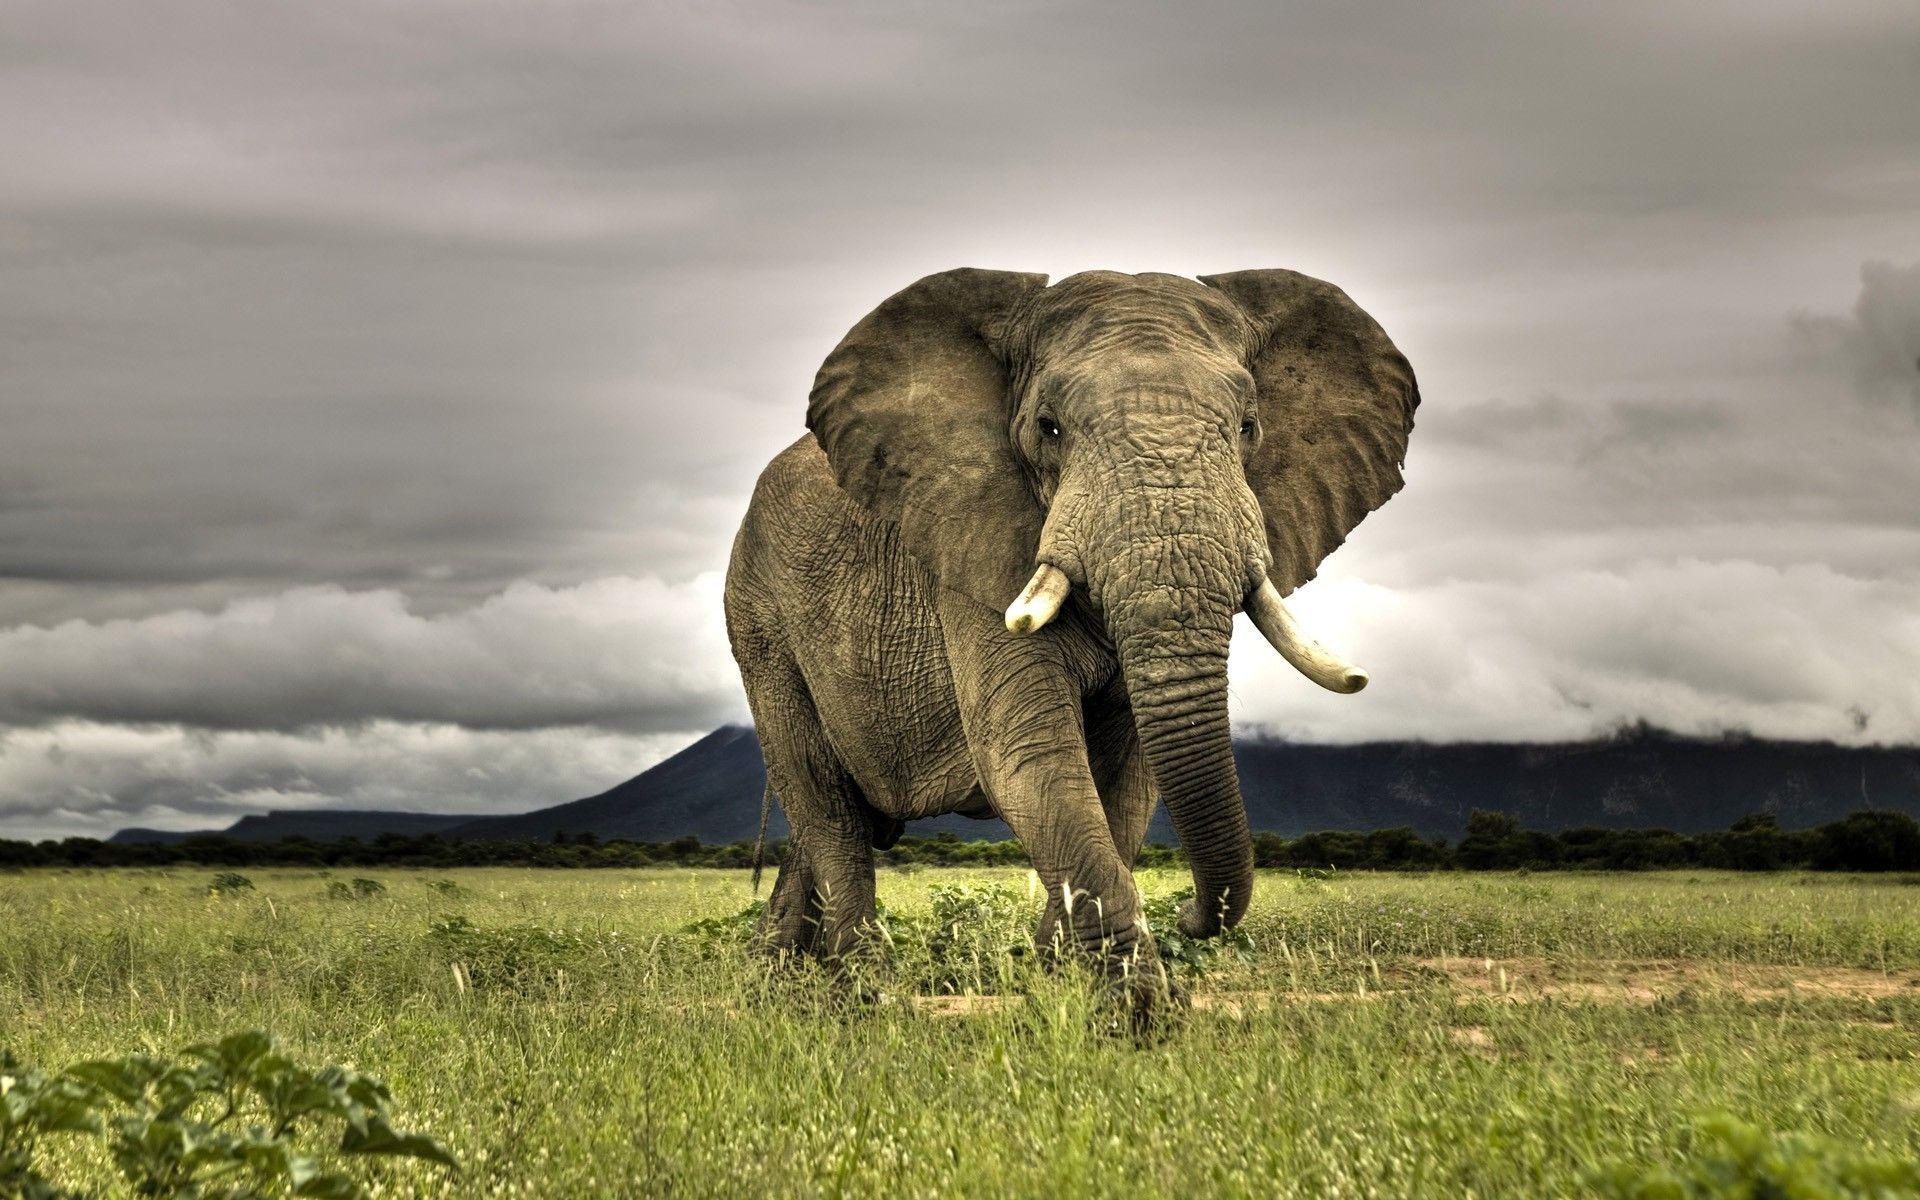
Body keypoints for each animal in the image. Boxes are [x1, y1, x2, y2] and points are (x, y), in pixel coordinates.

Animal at [724, 268, 1417, 1008]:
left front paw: (1062, 983)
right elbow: (1030, 756)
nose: (1189, 914)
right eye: (1048, 428)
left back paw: (776, 978)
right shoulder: (974, 549)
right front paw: (1138, 1012)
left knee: (825, 821)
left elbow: (1128, 779)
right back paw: (867, 998)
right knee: (827, 806)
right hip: (760, 621)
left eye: (1248, 427)